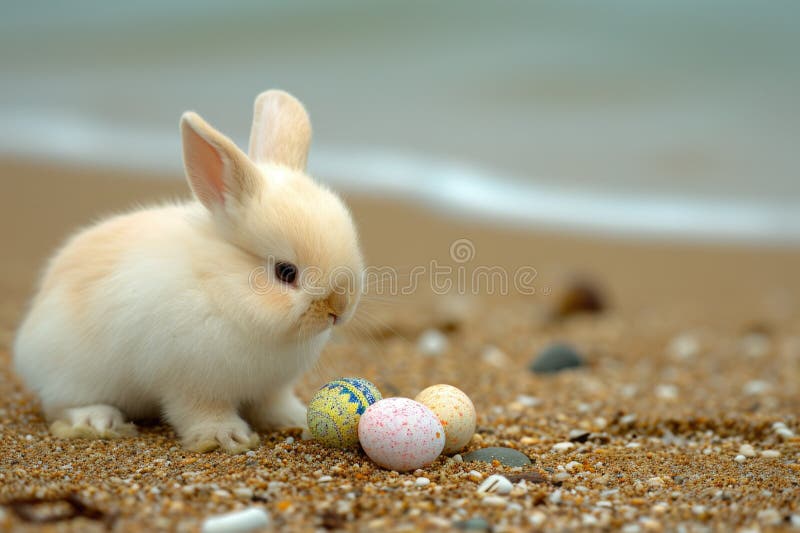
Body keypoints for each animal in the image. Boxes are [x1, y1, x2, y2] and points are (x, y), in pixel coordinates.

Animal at [13, 90, 364, 453]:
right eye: (286, 272)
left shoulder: (270, 389)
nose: (338, 310)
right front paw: (227, 438)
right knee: (62, 405)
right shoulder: (191, 384)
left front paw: (296, 420)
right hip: (72, 376)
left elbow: (274, 405)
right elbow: (200, 412)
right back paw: (99, 421)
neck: (219, 287)